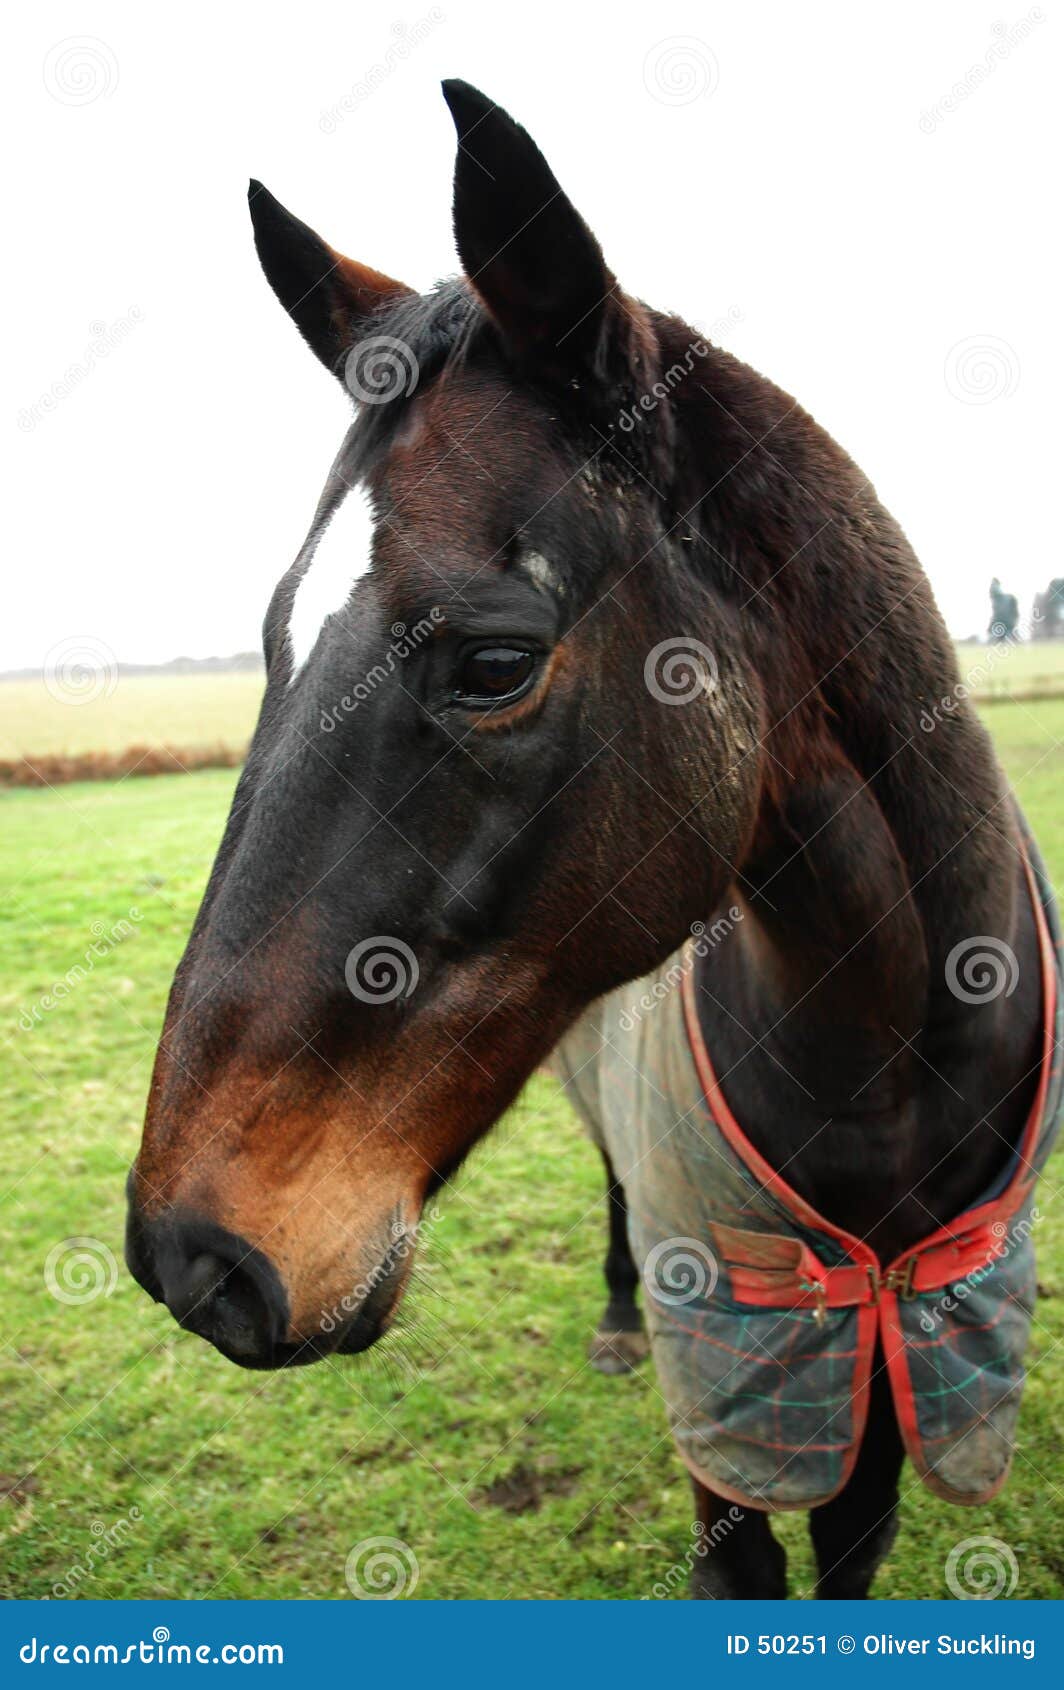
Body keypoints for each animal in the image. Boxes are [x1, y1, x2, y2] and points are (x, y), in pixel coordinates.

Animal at [127, 80, 1059, 1599]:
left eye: (495, 662)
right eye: (269, 638)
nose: (193, 1256)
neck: (894, 1074)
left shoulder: (896, 1372)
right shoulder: (737, 1402)